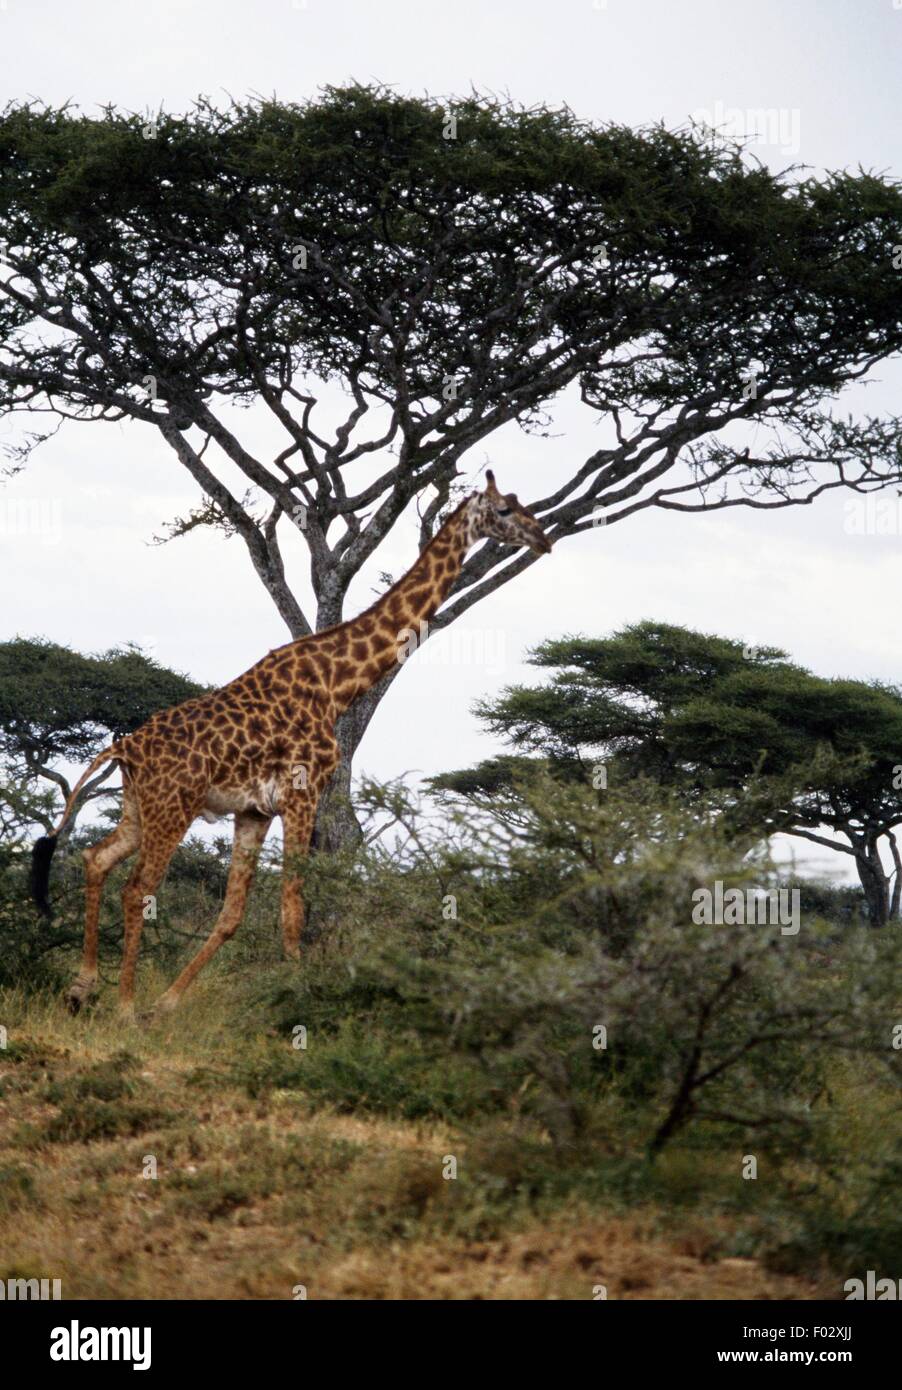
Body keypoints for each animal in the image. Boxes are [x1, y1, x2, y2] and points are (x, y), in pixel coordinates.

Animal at [30, 472, 552, 1020]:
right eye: (505, 510)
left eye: (521, 504)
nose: (544, 538)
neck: (337, 682)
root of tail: (124, 750)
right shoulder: (304, 794)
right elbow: (293, 910)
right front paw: (299, 1003)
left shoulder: (254, 810)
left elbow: (233, 914)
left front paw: (169, 1004)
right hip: (174, 809)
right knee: (137, 890)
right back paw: (125, 1007)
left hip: (139, 808)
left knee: (96, 860)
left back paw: (82, 988)